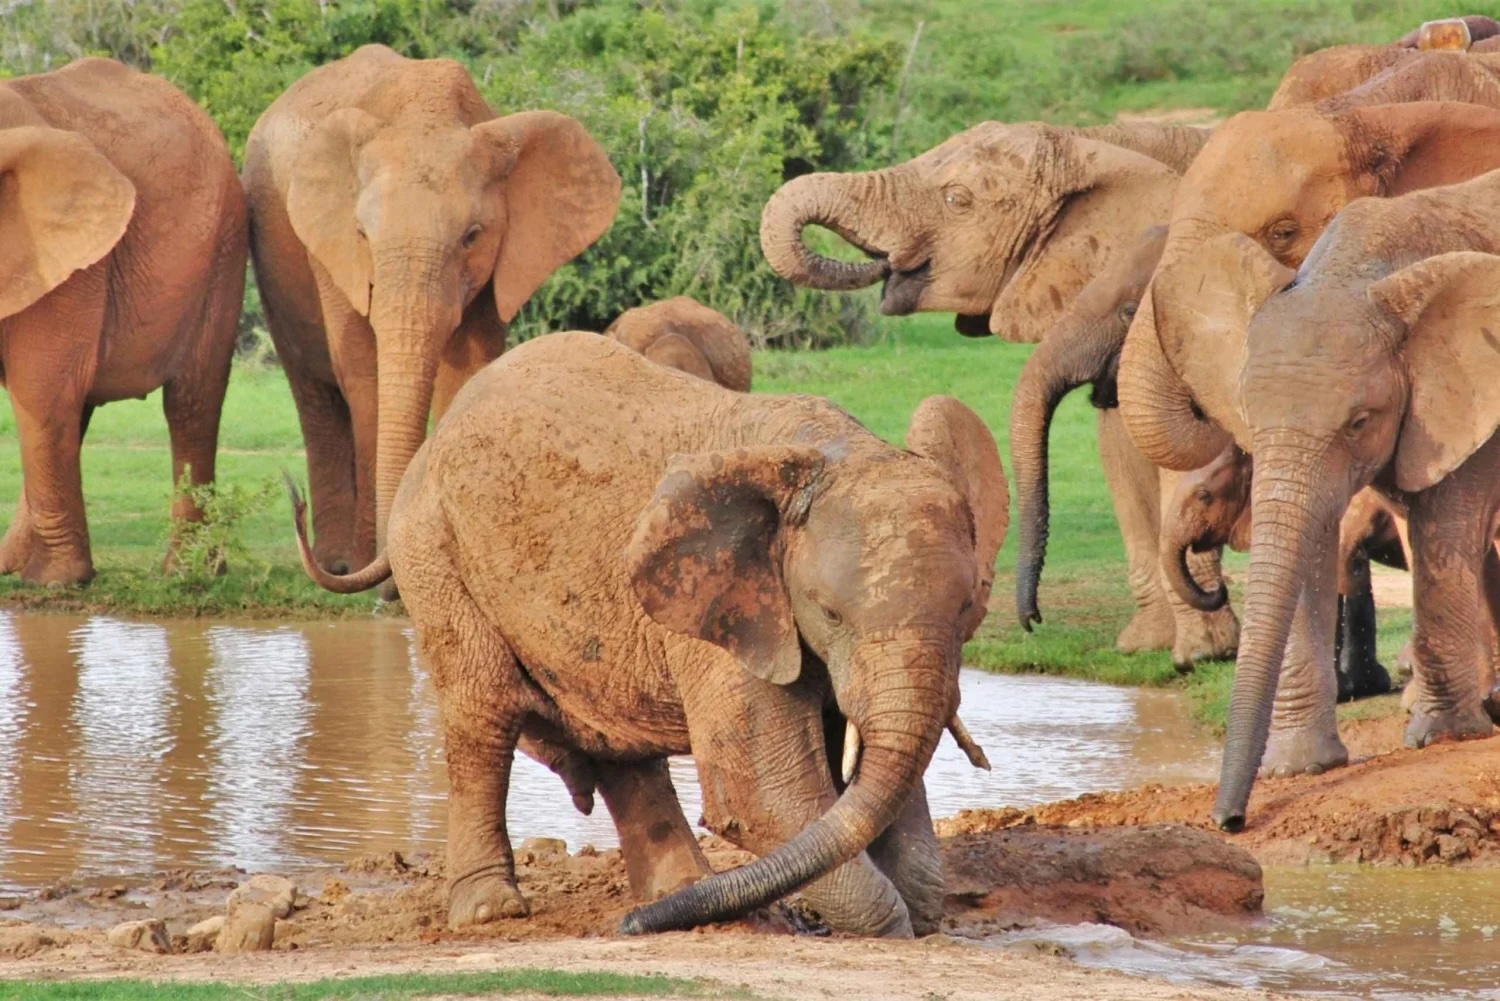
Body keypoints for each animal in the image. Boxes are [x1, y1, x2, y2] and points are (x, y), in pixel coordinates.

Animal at [0, 58, 247, 586]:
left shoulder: (69, 257)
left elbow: (42, 389)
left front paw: (56, 582)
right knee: (81, 404)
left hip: (224, 245)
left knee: (191, 401)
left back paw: (188, 574)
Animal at [243, 44, 621, 588]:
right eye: (362, 234)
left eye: (472, 236)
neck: (425, 113)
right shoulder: (332, 249)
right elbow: (363, 373)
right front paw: (382, 578)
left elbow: (467, 370)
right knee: (313, 387)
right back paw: (338, 561)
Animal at [287, 331, 1007, 938]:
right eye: (829, 612)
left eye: (967, 608)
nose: (629, 929)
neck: (833, 450)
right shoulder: (726, 609)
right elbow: (758, 793)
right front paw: (895, 924)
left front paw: (919, 908)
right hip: (435, 549)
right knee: (481, 713)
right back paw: (494, 912)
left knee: (614, 737)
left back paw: (678, 893)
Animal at [759, 119, 1242, 664]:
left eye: (958, 199)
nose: (1033, 621)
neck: (1092, 139)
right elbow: (1122, 444)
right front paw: (1145, 646)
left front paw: (1201, 654)